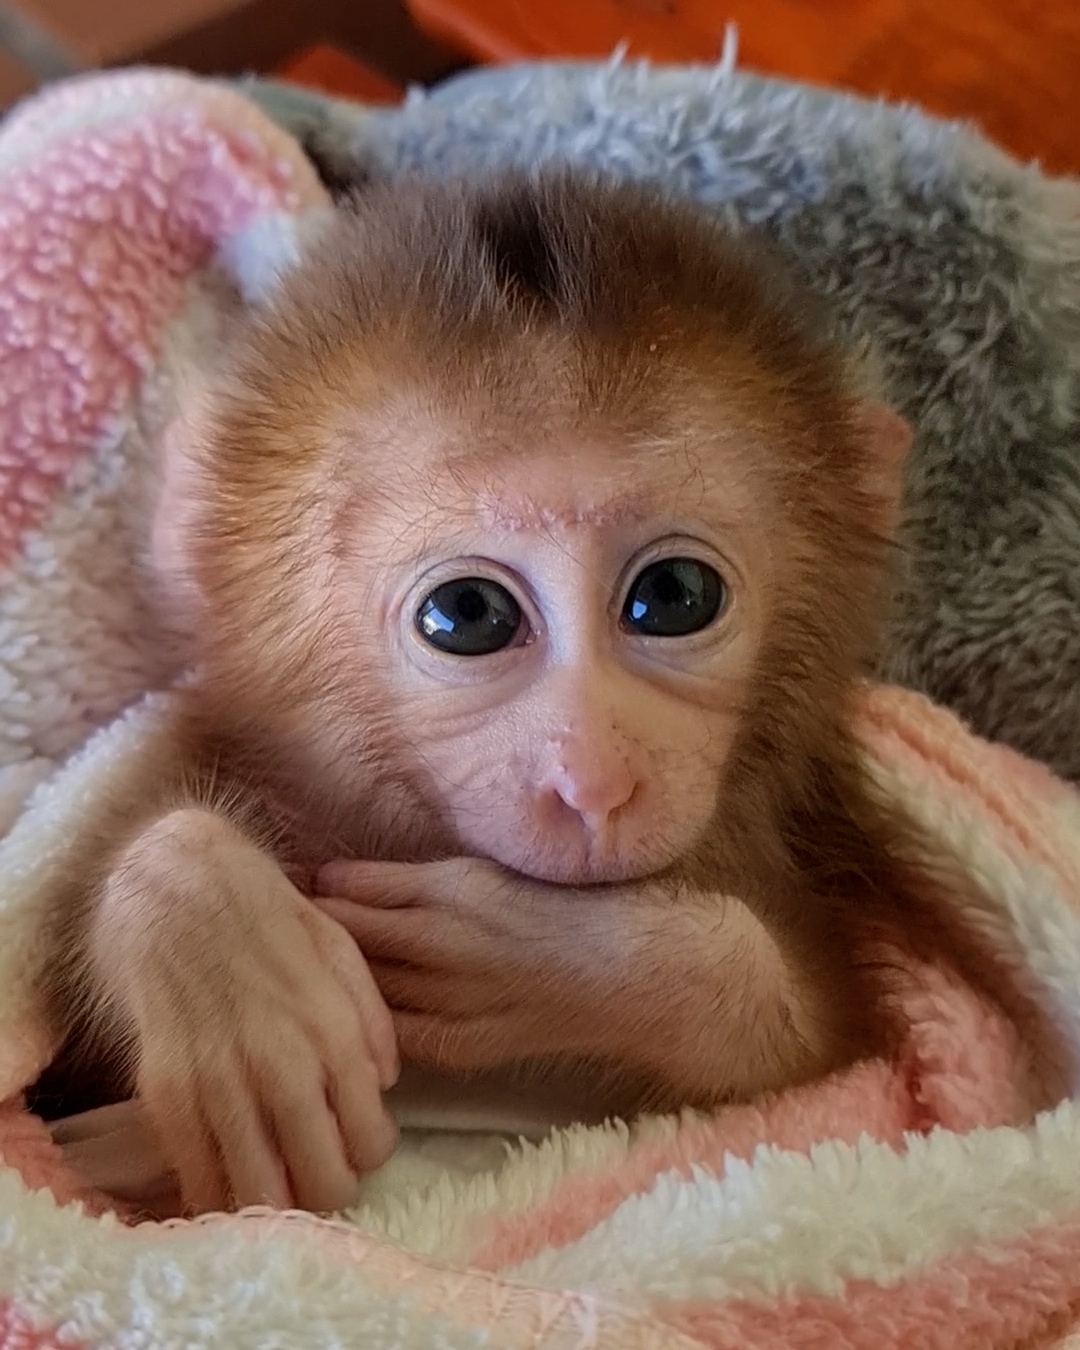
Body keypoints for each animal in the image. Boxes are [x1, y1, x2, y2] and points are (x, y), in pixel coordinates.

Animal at [28, 167, 1006, 1219]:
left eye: (674, 597)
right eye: (467, 613)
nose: (594, 784)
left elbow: (823, 1054)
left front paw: (562, 959)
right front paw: (227, 962)